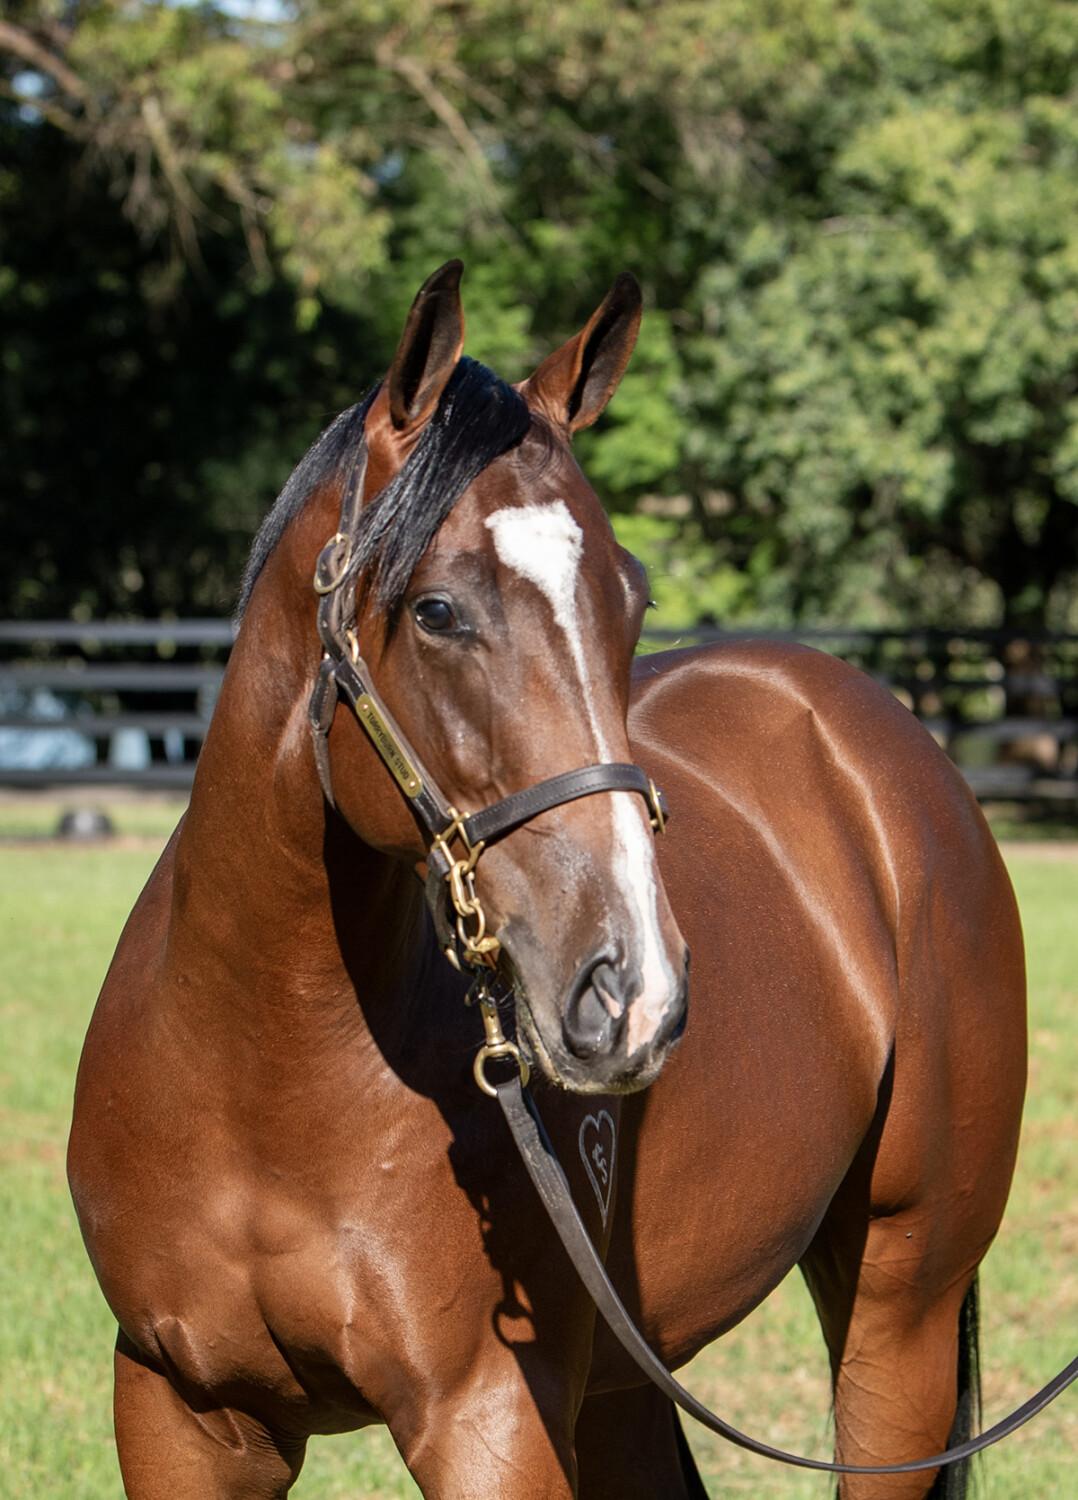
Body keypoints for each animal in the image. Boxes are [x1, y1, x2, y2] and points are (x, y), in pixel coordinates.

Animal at [68, 261, 1026, 1499]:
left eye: (632, 600)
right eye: (436, 611)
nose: (632, 993)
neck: (254, 1067)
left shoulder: (490, 1420)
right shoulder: (180, 1411)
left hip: (898, 1312)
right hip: (630, 1377)